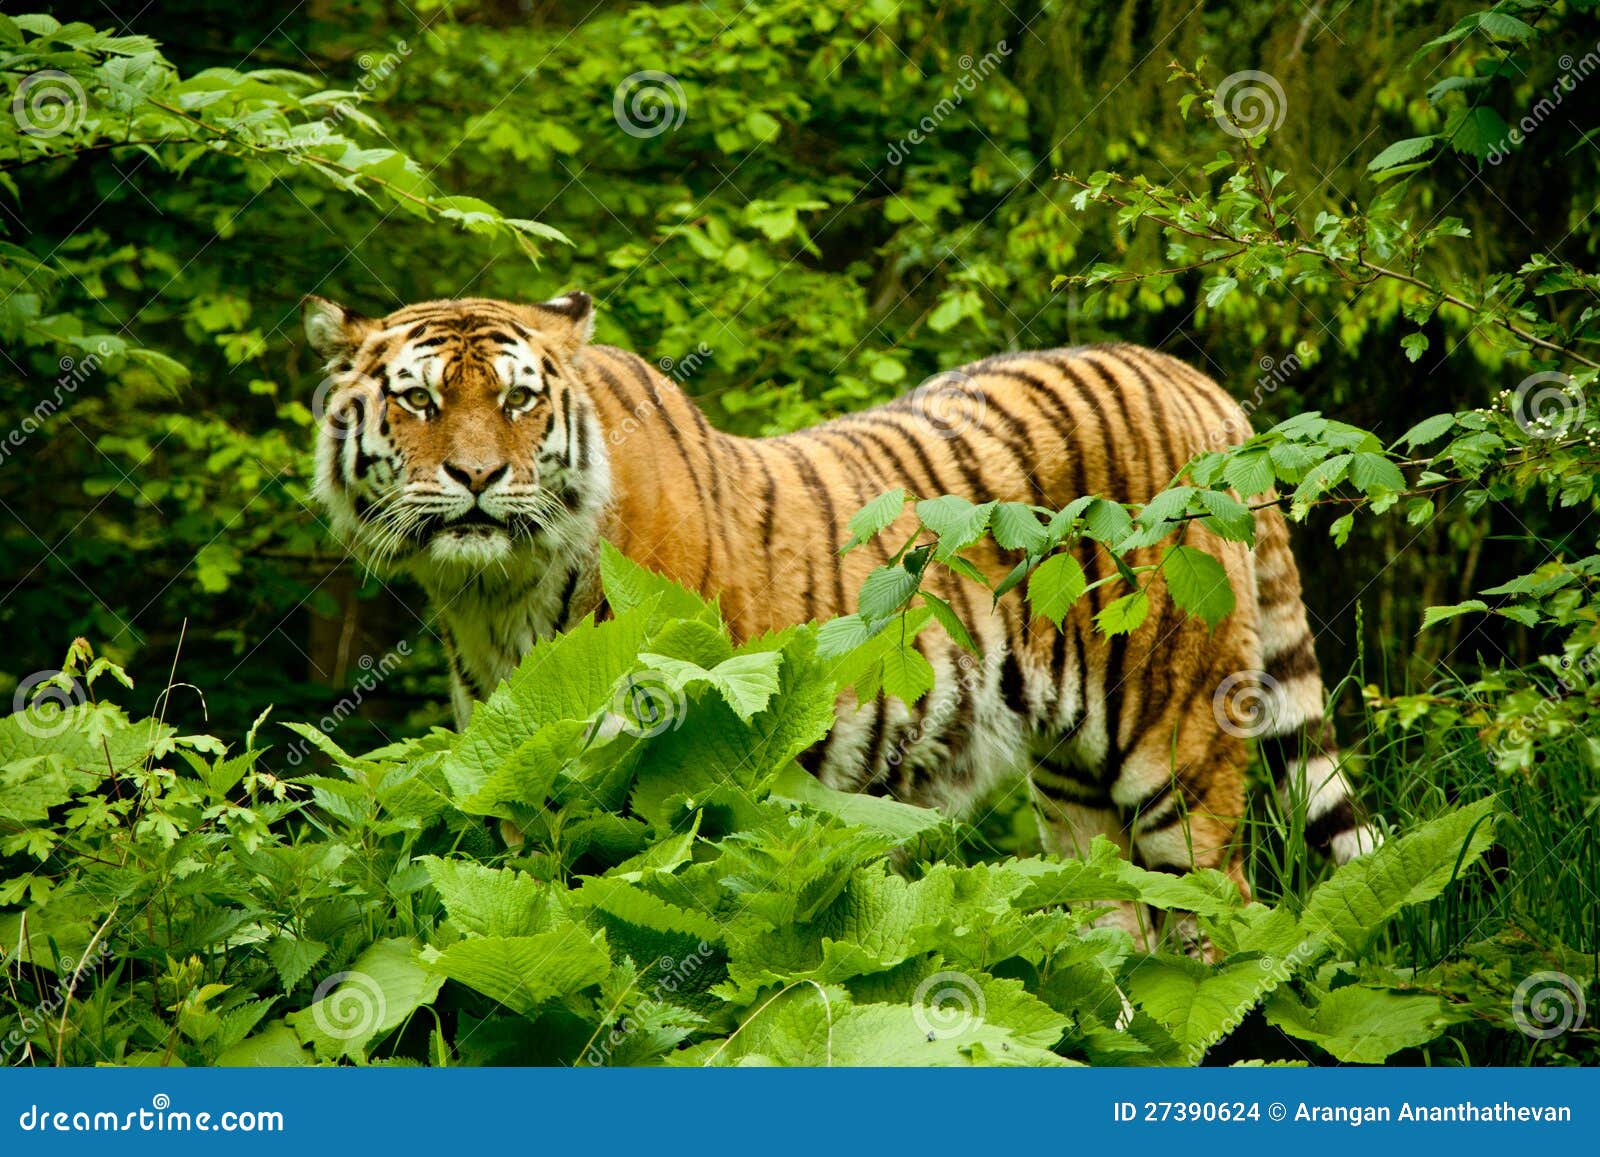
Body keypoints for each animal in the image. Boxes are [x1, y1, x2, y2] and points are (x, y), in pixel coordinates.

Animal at [303, 290, 1379, 935]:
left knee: (1221, 919)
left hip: (1177, 746)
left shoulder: (686, 786)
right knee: (1114, 933)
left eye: (520, 401)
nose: (477, 477)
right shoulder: (519, 781)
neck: (497, 592)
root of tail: (1195, 382)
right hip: (1075, 789)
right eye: (418, 400)